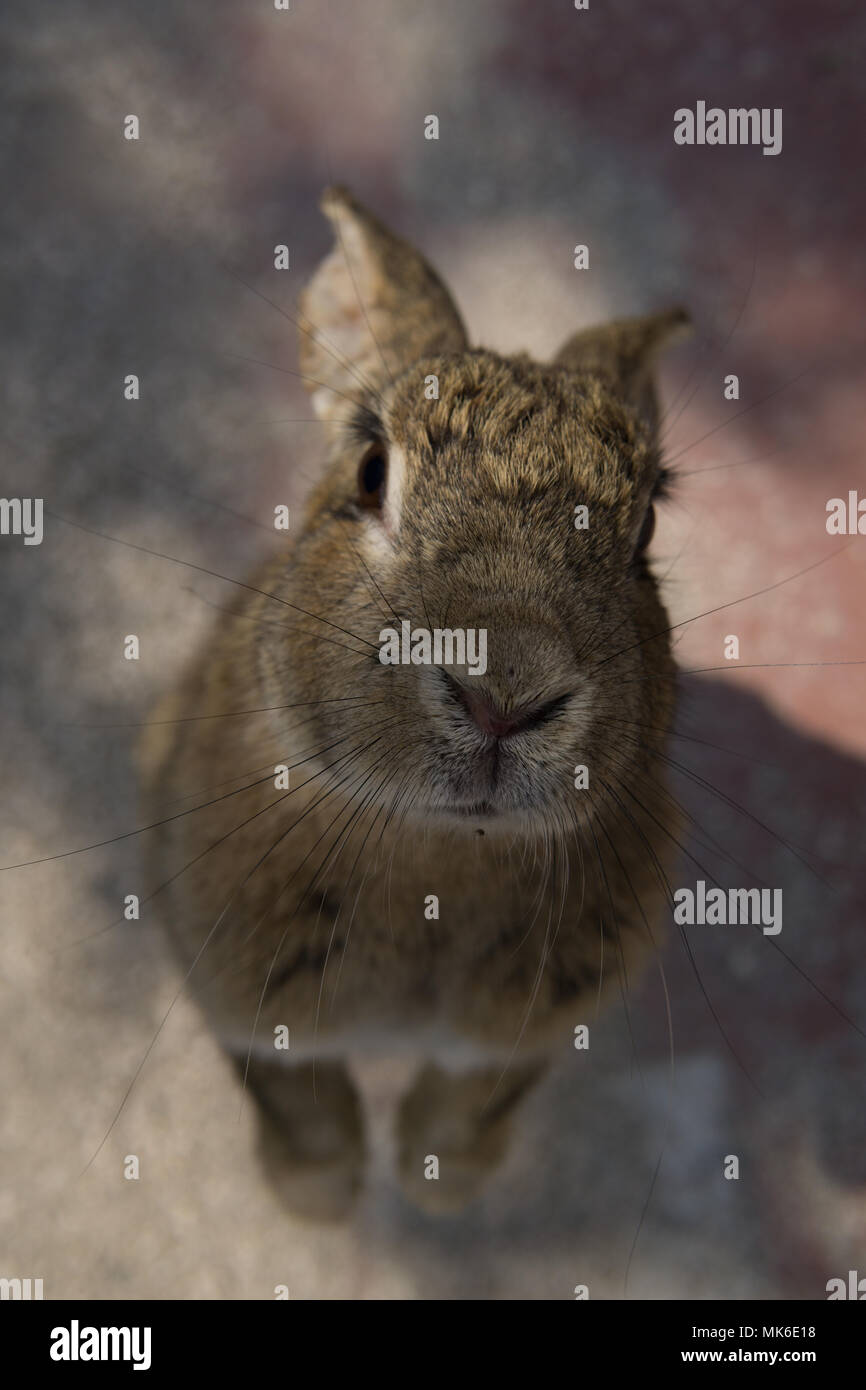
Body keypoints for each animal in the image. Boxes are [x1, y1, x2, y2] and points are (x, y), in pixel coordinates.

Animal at [139, 186, 689, 1220]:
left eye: (645, 528)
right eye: (370, 473)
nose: (504, 691)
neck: (442, 851)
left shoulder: (532, 1021)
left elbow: (476, 1096)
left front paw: (440, 1182)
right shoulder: (239, 989)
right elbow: (293, 1094)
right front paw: (324, 1194)